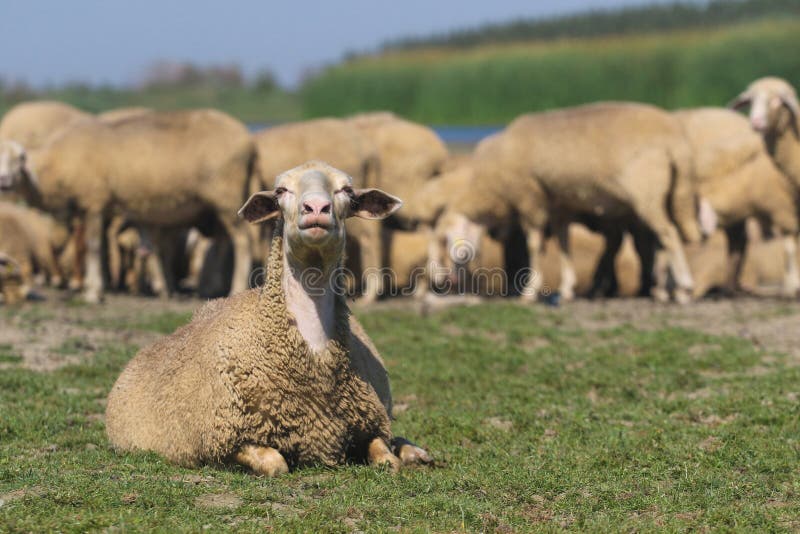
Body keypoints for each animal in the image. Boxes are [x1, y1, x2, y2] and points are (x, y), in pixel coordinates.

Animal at [0, 108, 257, 302]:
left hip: (226, 196)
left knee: (242, 242)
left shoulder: (95, 202)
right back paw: (212, 288)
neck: (56, 167)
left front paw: (93, 292)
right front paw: (96, 286)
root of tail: (248, 140)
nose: (4, 181)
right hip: (218, 204)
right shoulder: (96, 209)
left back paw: (234, 288)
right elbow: (100, 249)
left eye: (18, 160)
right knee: (223, 242)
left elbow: (94, 247)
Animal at [106, 160, 431, 474]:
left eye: (347, 190)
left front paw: (400, 456)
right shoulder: (227, 440)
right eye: (281, 190)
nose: (316, 208)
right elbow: (276, 465)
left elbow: (387, 459)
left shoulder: (368, 420)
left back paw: (417, 452)